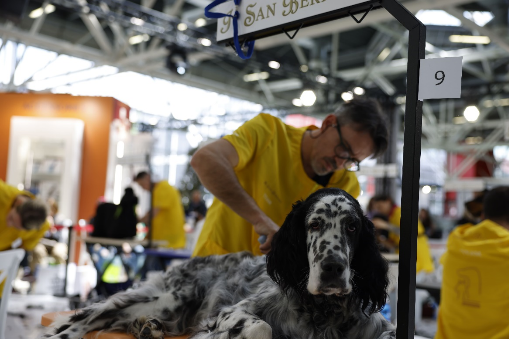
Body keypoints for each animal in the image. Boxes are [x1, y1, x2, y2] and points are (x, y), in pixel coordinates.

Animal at [43, 189, 392, 339]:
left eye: (352, 226)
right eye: (314, 223)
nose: (332, 269)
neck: (322, 312)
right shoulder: (231, 313)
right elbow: (262, 329)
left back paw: (148, 328)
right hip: (168, 297)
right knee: (91, 318)